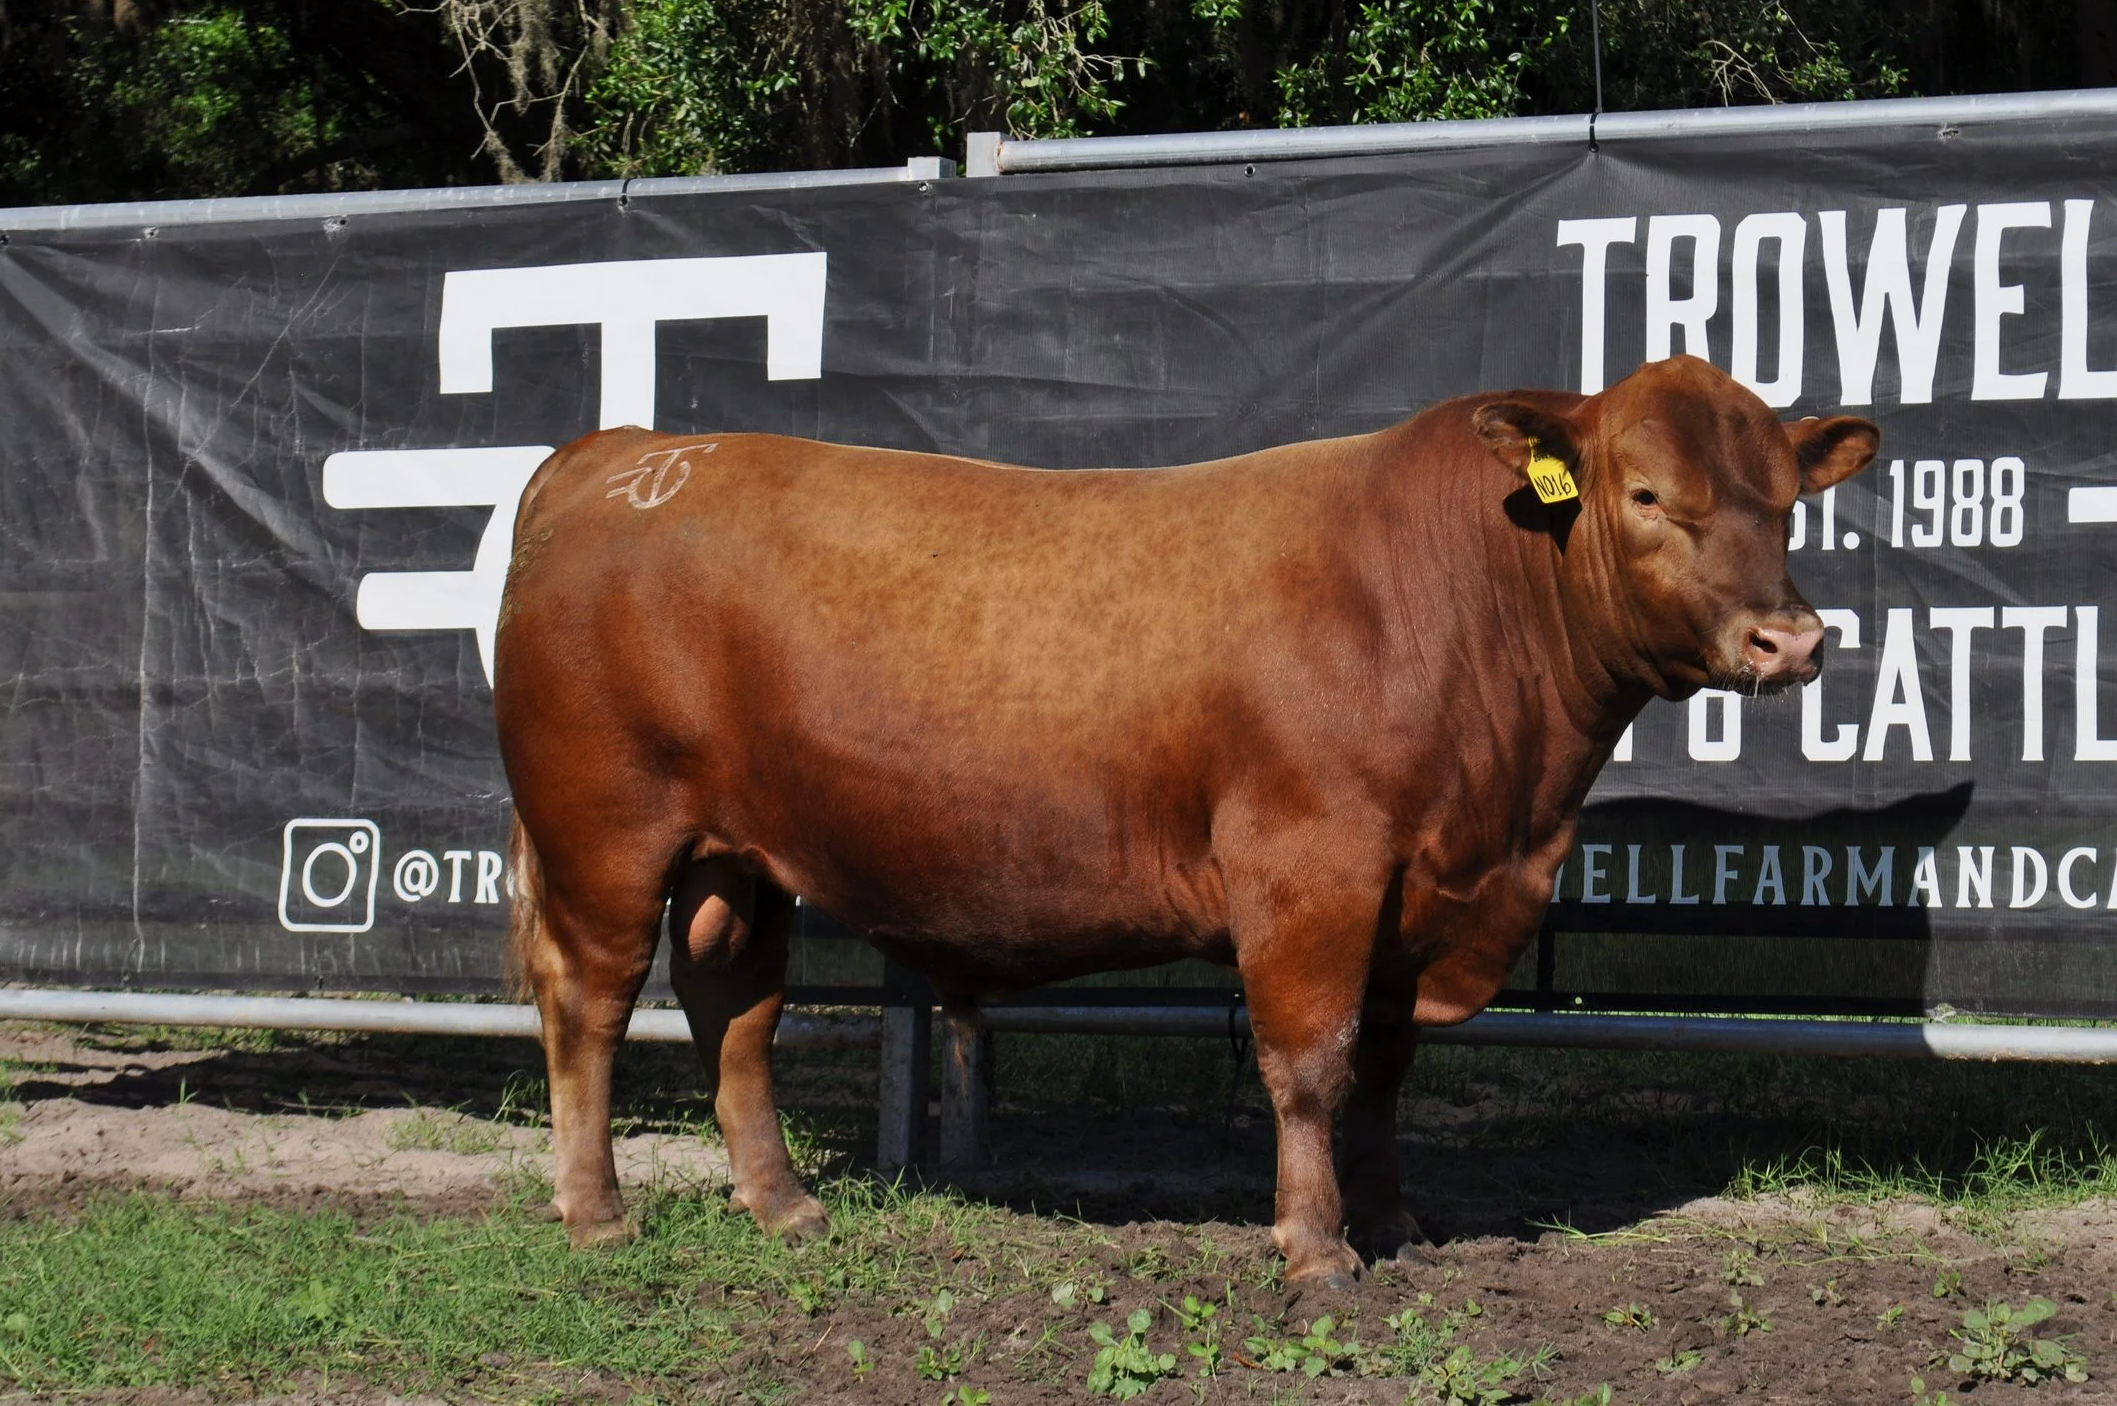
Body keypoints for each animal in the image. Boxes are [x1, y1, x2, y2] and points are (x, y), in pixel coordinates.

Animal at [492, 354, 1877, 1288]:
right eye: (1643, 493)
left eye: (1782, 497)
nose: (1790, 638)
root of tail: (624, 457)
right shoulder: (1309, 867)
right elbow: (1310, 1063)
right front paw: (1315, 1246)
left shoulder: (1417, 895)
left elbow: (1384, 1068)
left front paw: (1391, 1222)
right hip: (604, 827)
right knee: (591, 1000)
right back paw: (595, 1209)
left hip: (739, 852)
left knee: (735, 1000)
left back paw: (780, 1203)